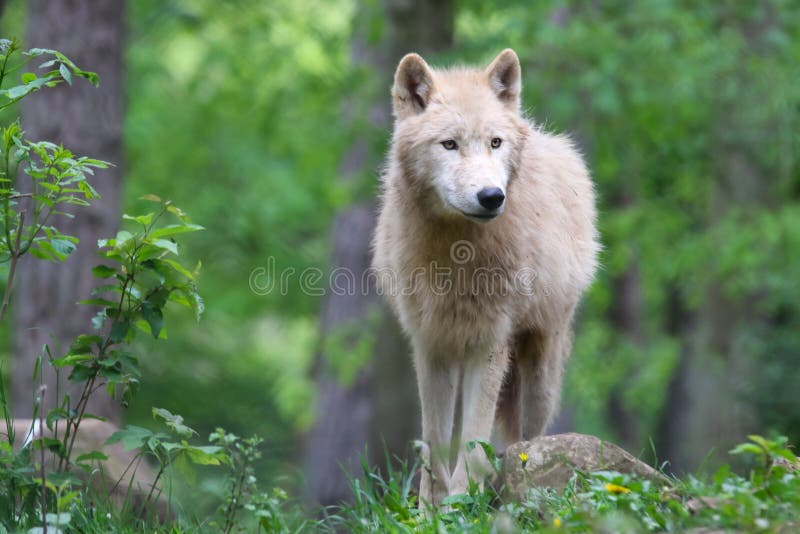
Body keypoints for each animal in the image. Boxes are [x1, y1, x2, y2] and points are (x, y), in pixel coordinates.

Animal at [372, 49, 599, 507]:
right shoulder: (431, 345)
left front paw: (461, 503)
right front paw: (430, 510)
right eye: (450, 144)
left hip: (539, 369)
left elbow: (473, 442)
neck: (455, 256)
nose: (492, 197)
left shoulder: (491, 344)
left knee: (525, 438)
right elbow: (435, 440)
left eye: (495, 142)